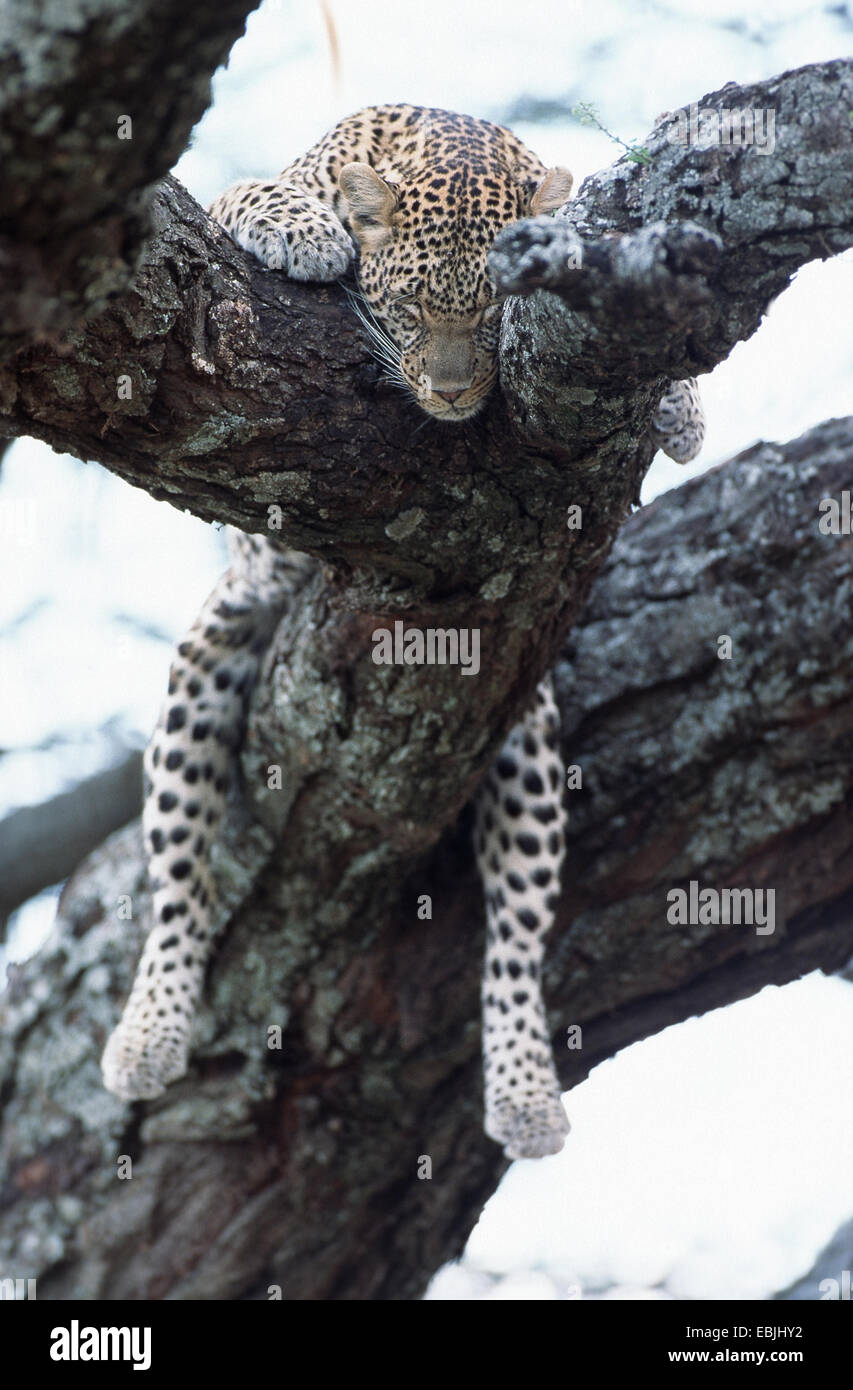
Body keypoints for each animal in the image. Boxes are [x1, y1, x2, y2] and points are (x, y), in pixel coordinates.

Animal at [101, 104, 705, 1161]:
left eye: (496, 315)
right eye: (414, 310)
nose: (457, 396)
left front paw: (678, 405)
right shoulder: (230, 202)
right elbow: (259, 195)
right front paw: (308, 231)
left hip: (524, 727)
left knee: (516, 933)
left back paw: (524, 1094)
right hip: (214, 646)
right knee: (178, 880)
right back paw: (148, 1034)